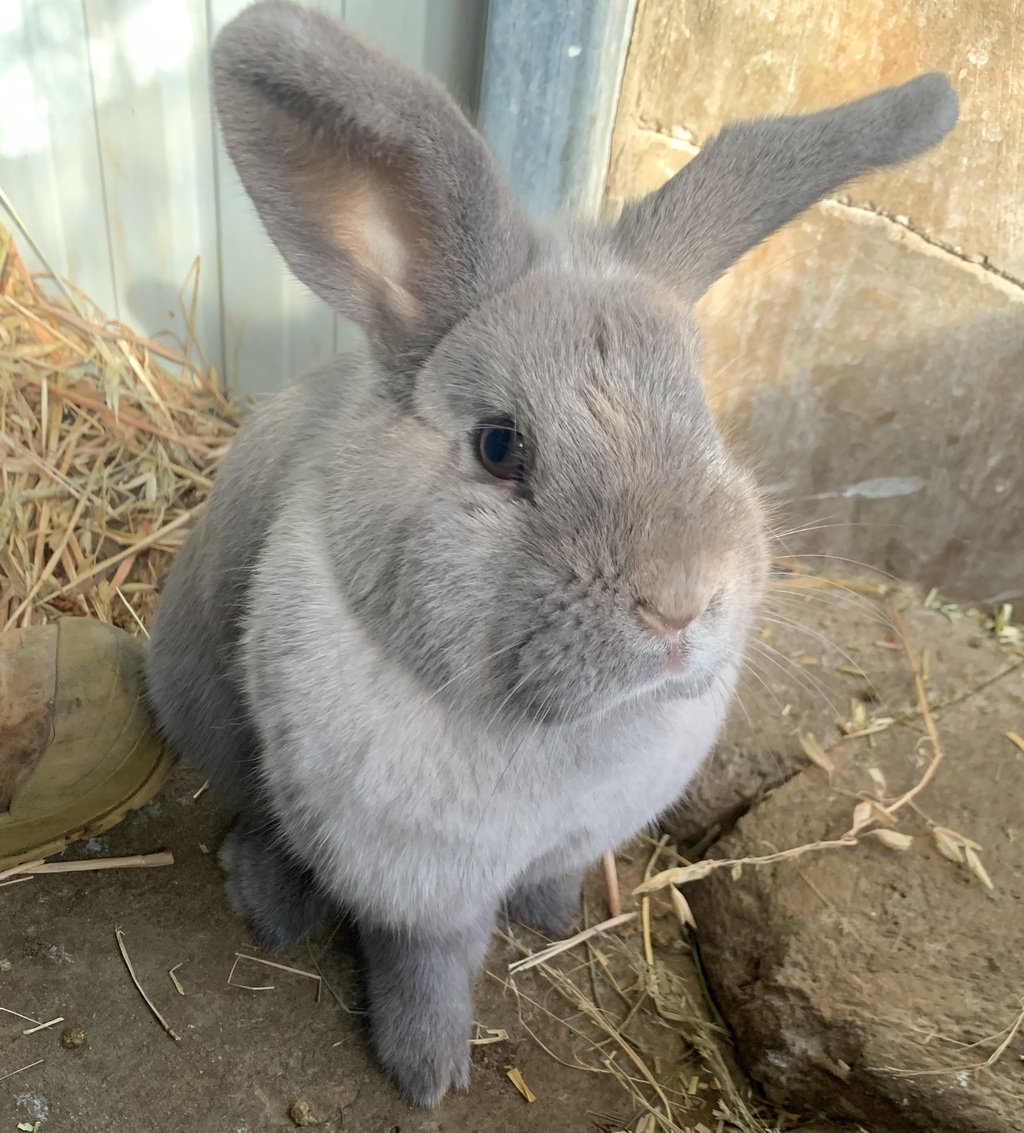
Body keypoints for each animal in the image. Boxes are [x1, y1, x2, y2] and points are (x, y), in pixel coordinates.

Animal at [146, 0, 959, 1108]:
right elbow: (427, 966)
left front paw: (551, 912)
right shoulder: (419, 885)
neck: (561, 740)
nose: (680, 601)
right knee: (258, 821)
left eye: (706, 418)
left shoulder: (578, 829)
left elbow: (543, 879)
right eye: (500, 447)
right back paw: (271, 905)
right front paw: (428, 1074)